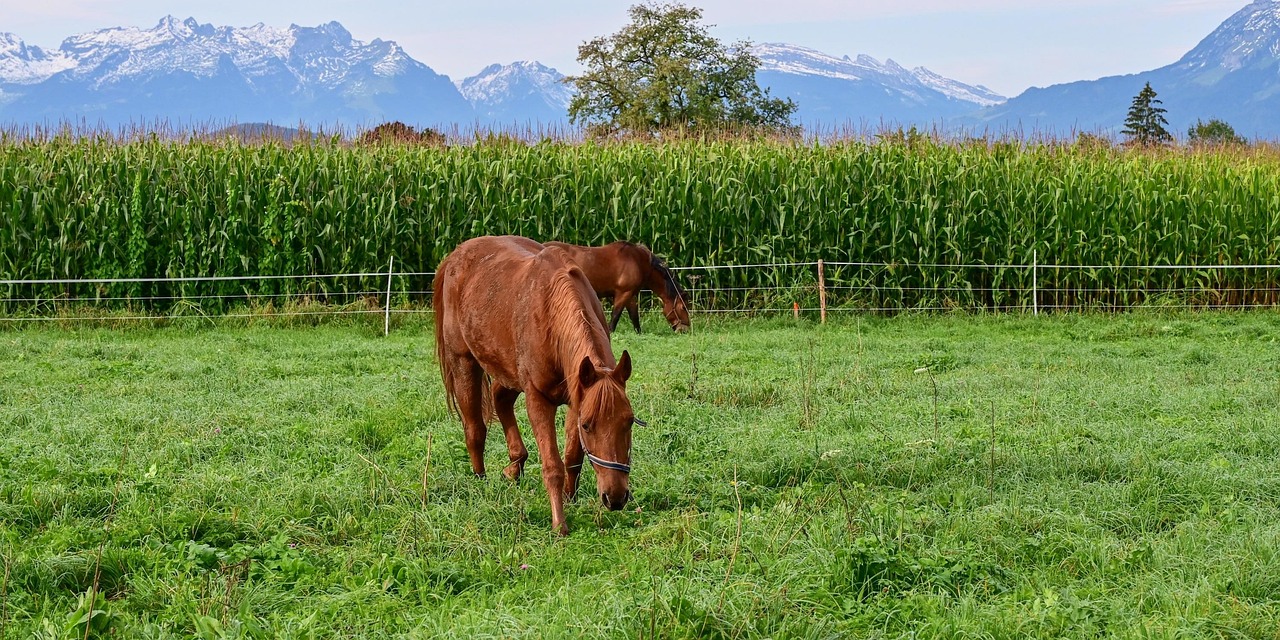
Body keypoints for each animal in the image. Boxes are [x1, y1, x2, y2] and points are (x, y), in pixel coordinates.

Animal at [433, 235, 638, 536]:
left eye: (630, 421)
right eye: (588, 425)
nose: (615, 497)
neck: (551, 311)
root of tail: (454, 257)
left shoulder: (576, 395)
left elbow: (572, 457)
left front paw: (570, 498)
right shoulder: (539, 399)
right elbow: (552, 465)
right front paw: (559, 523)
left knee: (500, 400)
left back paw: (514, 466)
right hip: (464, 363)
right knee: (474, 429)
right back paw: (481, 479)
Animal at [543, 241, 690, 334]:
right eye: (683, 307)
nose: (685, 330)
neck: (639, 261)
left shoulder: (630, 295)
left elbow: (634, 316)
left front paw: (639, 332)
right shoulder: (623, 293)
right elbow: (615, 316)